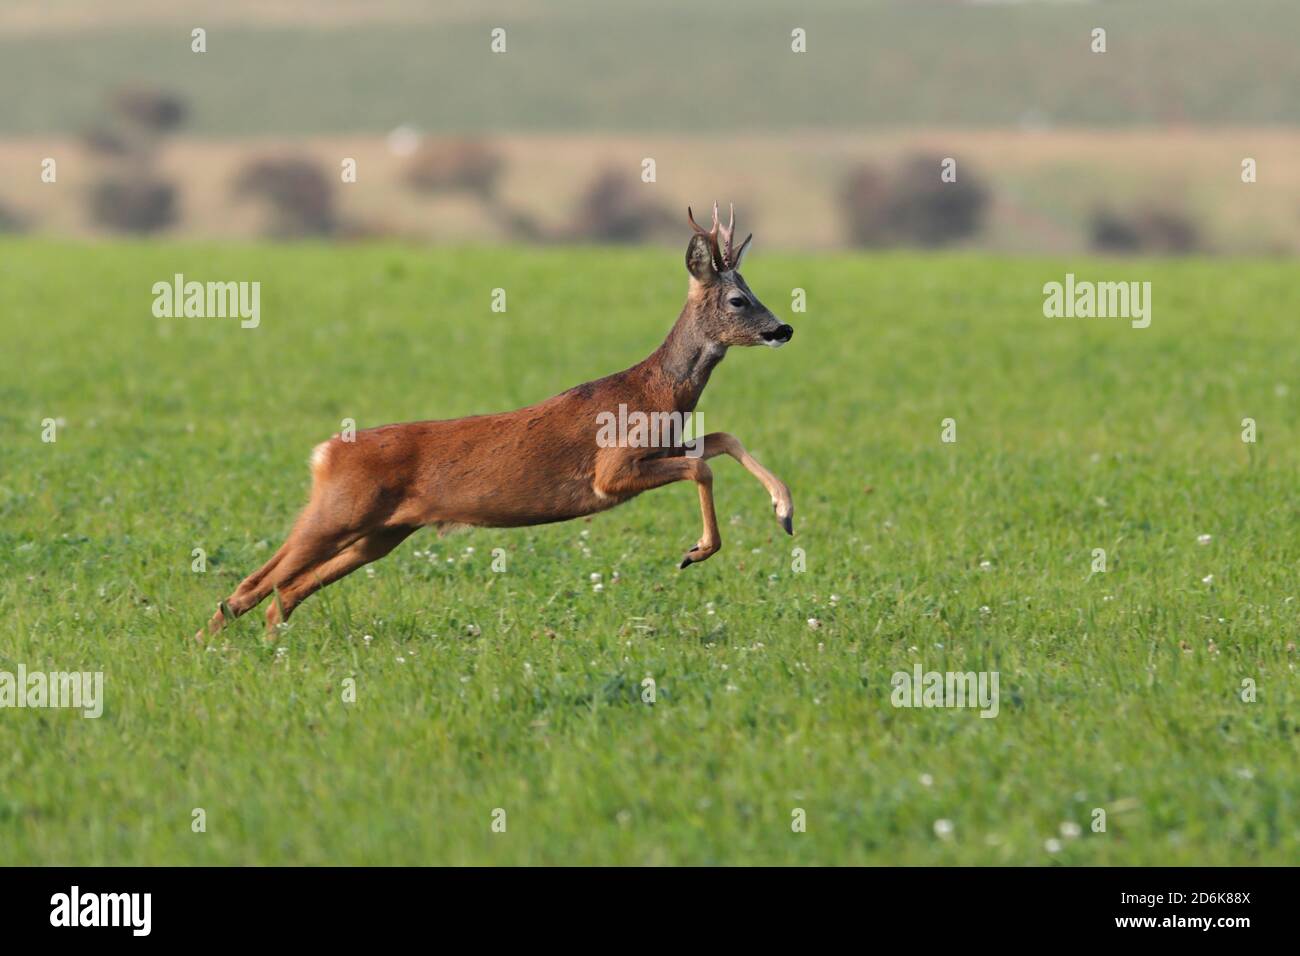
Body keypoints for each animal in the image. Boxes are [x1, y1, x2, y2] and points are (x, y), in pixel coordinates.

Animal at [196, 203, 795, 640]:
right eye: (738, 299)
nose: (783, 329)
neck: (654, 390)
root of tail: (325, 453)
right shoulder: (611, 470)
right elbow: (701, 467)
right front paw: (697, 551)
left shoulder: (664, 444)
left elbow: (722, 438)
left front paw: (784, 512)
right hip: (338, 510)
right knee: (255, 583)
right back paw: (204, 647)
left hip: (382, 533)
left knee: (285, 593)